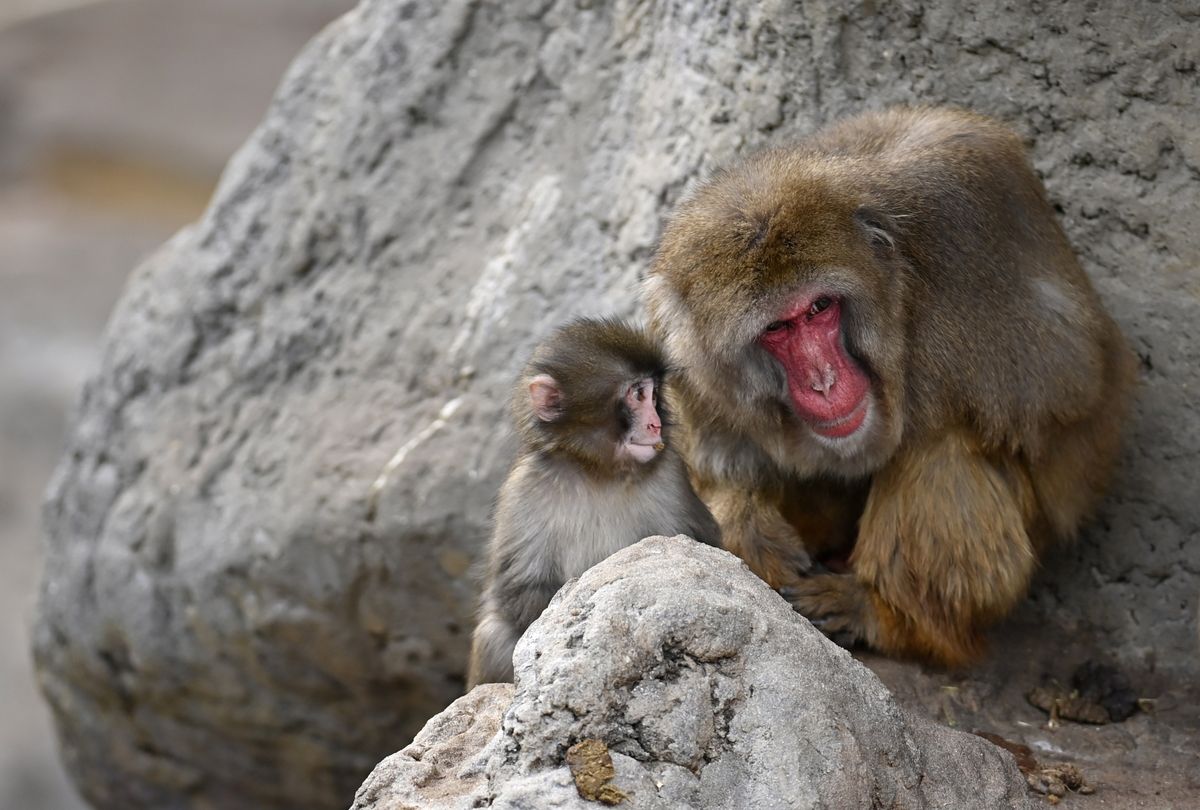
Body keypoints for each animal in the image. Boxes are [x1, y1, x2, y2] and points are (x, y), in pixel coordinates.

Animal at [467, 317, 722, 687]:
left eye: (654, 394)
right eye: (637, 394)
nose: (655, 424)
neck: (599, 472)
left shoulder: (671, 474)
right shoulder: (524, 489)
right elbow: (518, 589)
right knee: (494, 633)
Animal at [644, 106, 1135, 667]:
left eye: (819, 308)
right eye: (777, 328)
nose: (824, 380)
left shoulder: (961, 231)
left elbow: (1063, 380)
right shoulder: (679, 343)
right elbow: (716, 462)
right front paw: (747, 526)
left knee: (939, 449)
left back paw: (887, 615)